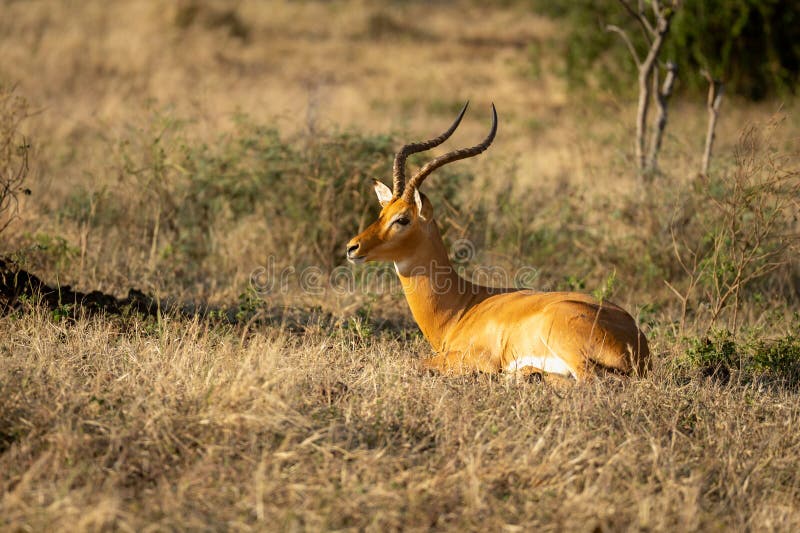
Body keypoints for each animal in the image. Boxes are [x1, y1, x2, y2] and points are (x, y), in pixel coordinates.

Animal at [346, 103, 650, 381]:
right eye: (382, 213)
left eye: (403, 219)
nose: (352, 247)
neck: (461, 308)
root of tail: (637, 341)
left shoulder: (473, 358)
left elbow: (417, 362)